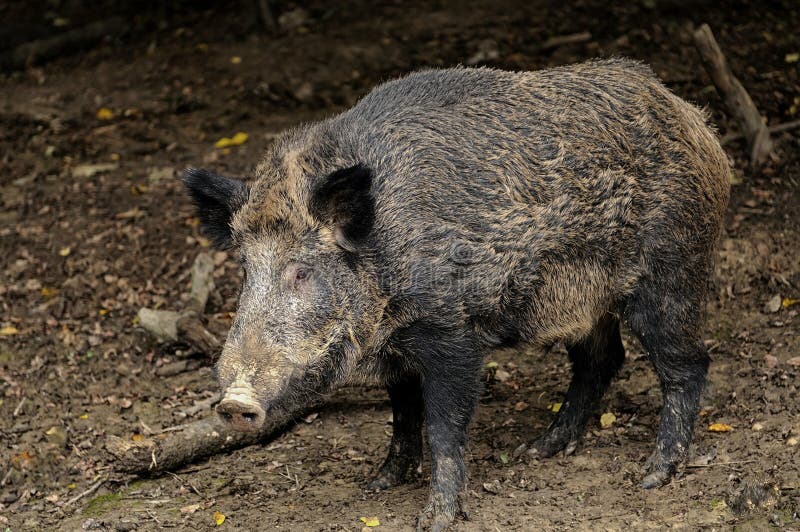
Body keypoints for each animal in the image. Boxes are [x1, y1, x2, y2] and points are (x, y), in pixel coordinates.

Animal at [183, 58, 730, 530]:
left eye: (301, 272)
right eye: (246, 268)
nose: (233, 403)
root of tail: (696, 122)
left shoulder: (453, 335)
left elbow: (443, 425)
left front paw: (435, 519)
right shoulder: (396, 350)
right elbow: (402, 414)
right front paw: (378, 485)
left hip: (670, 273)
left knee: (687, 364)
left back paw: (653, 476)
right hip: (583, 303)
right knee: (603, 360)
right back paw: (538, 449)